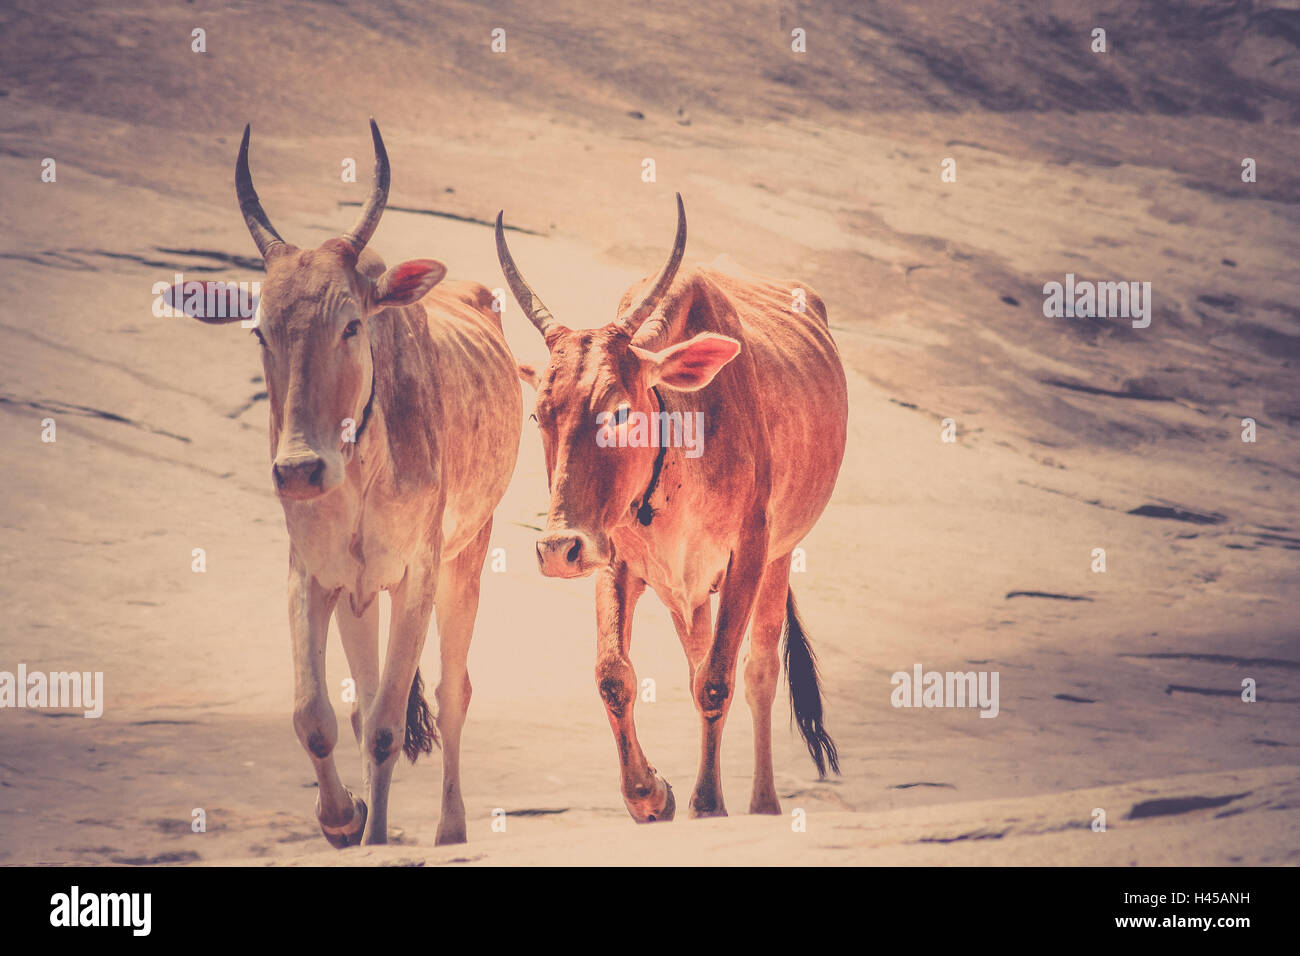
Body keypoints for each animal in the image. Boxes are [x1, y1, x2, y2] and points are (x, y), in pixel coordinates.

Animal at [177, 121, 521, 846]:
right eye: (260, 331)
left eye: (352, 323)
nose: (299, 469)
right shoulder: (314, 572)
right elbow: (318, 715)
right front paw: (345, 821)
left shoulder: (419, 573)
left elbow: (391, 724)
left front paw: (376, 832)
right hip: (362, 598)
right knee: (362, 706)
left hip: (467, 558)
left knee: (450, 695)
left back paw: (450, 828)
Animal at [495, 195, 847, 821]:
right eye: (539, 413)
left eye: (617, 410)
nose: (558, 549)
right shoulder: (613, 557)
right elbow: (615, 676)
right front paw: (650, 794)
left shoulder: (748, 553)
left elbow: (719, 681)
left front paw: (708, 803)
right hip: (690, 590)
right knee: (698, 660)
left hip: (781, 557)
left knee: (756, 668)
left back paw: (762, 802)